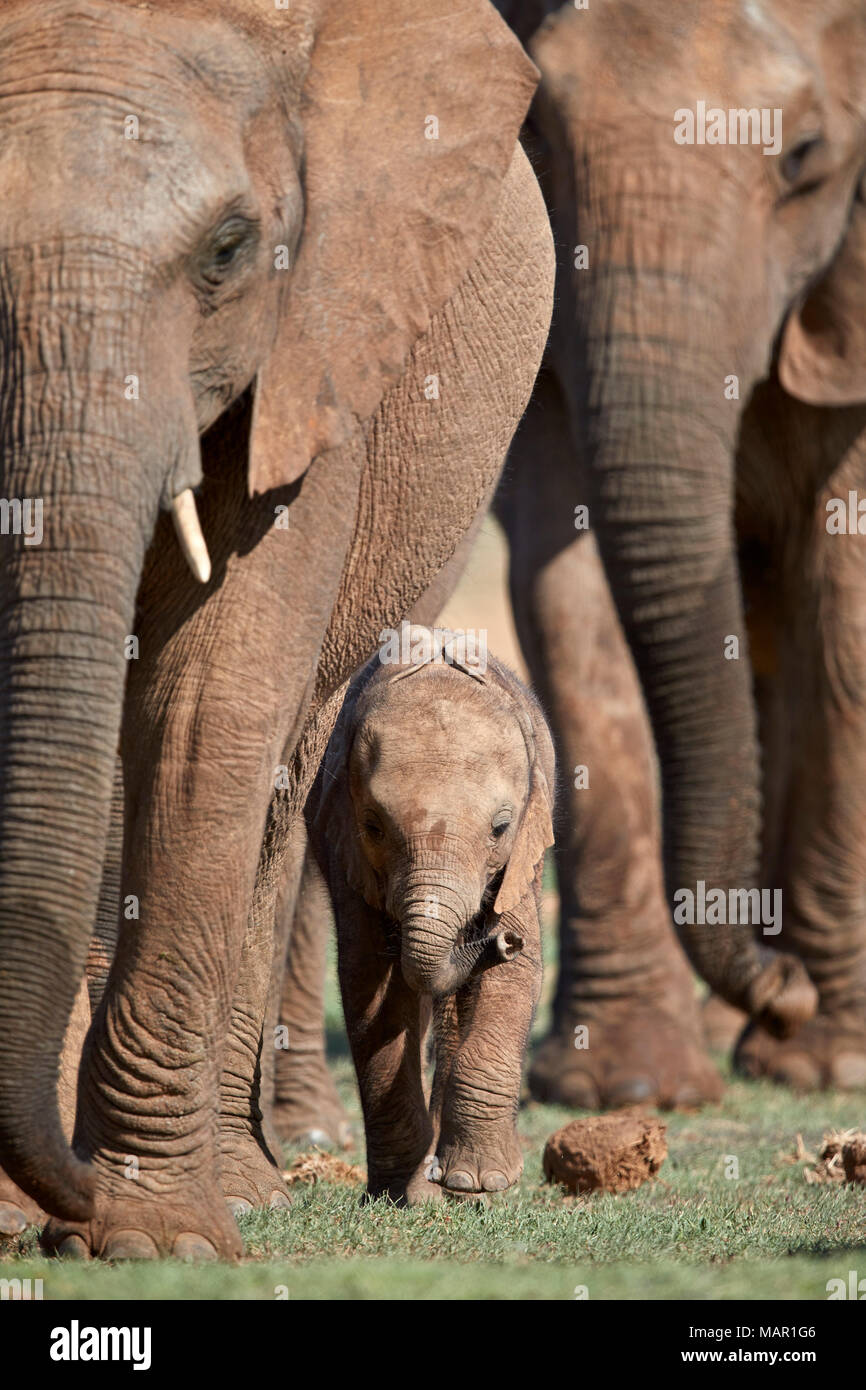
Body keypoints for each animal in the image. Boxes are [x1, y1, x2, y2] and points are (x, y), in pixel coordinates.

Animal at [303, 626, 554, 1202]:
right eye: (373, 826)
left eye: (500, 827)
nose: (497, 942)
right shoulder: (348, 853)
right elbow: (370, 984)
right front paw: (405, 1196)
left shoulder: (520, 858)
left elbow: (518, 975)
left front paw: (477, 1181)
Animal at [490, 0, 866, 1106]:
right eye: (540, 138)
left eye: (804, 157)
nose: (780, 988)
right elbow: (562, 586)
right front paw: (620, 1087)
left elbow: (844, 599)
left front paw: (826, 1064)